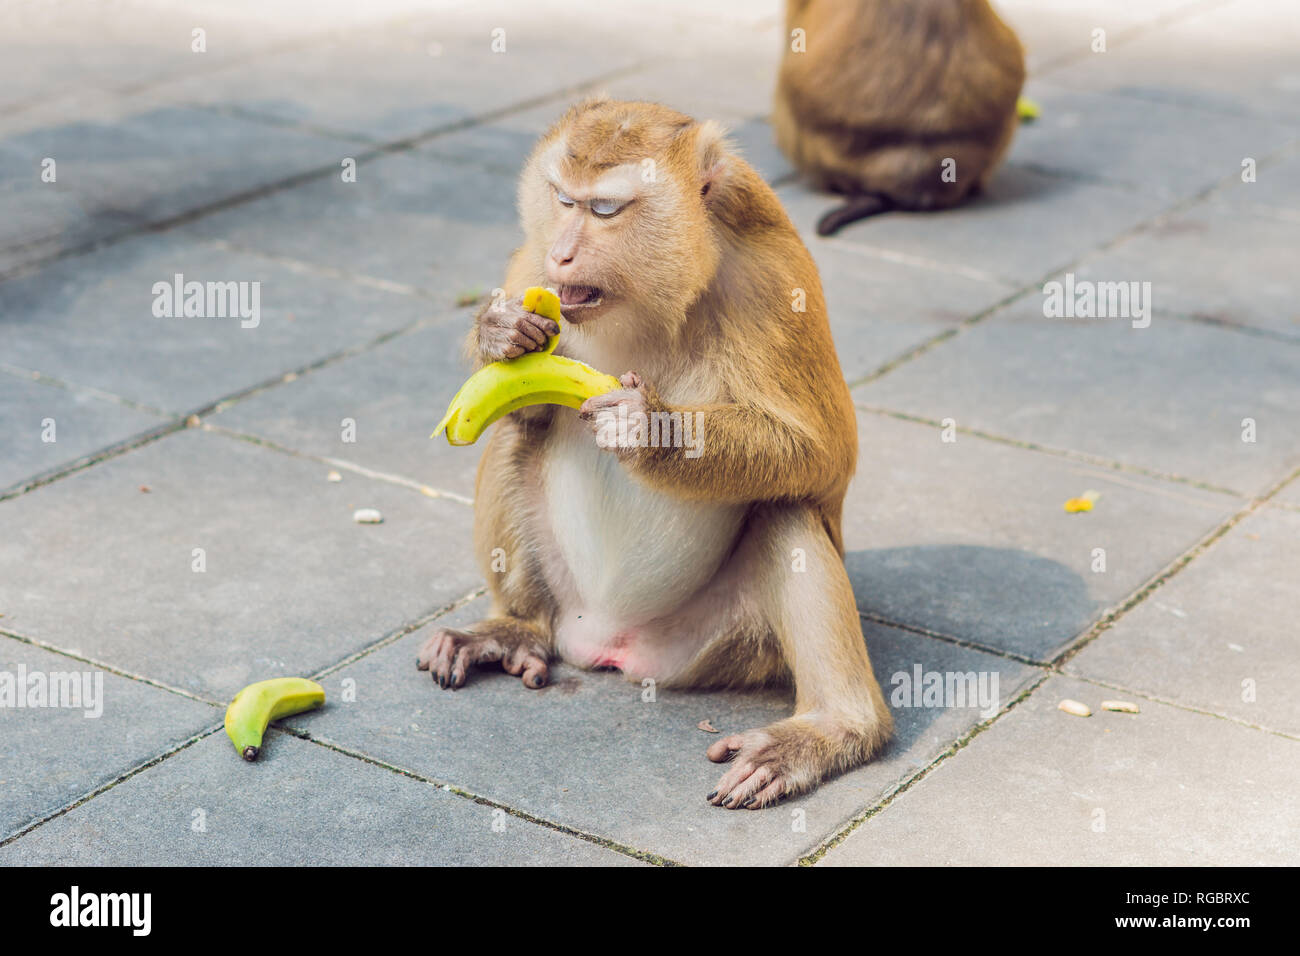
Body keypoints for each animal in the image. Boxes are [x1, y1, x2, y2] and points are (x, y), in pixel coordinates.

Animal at [416, 97, 892, 809]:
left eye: (606, 210)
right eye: (563, 200)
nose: (561, 255)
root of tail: (607, 642)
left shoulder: (775, 277)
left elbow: (822, 452)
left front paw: (649, 429)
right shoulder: (532, 271)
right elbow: (522, 403)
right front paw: (498, 332)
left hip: (726, 645)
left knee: (784, 510)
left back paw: (834, 728)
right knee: (510, 433)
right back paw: (516, 629)